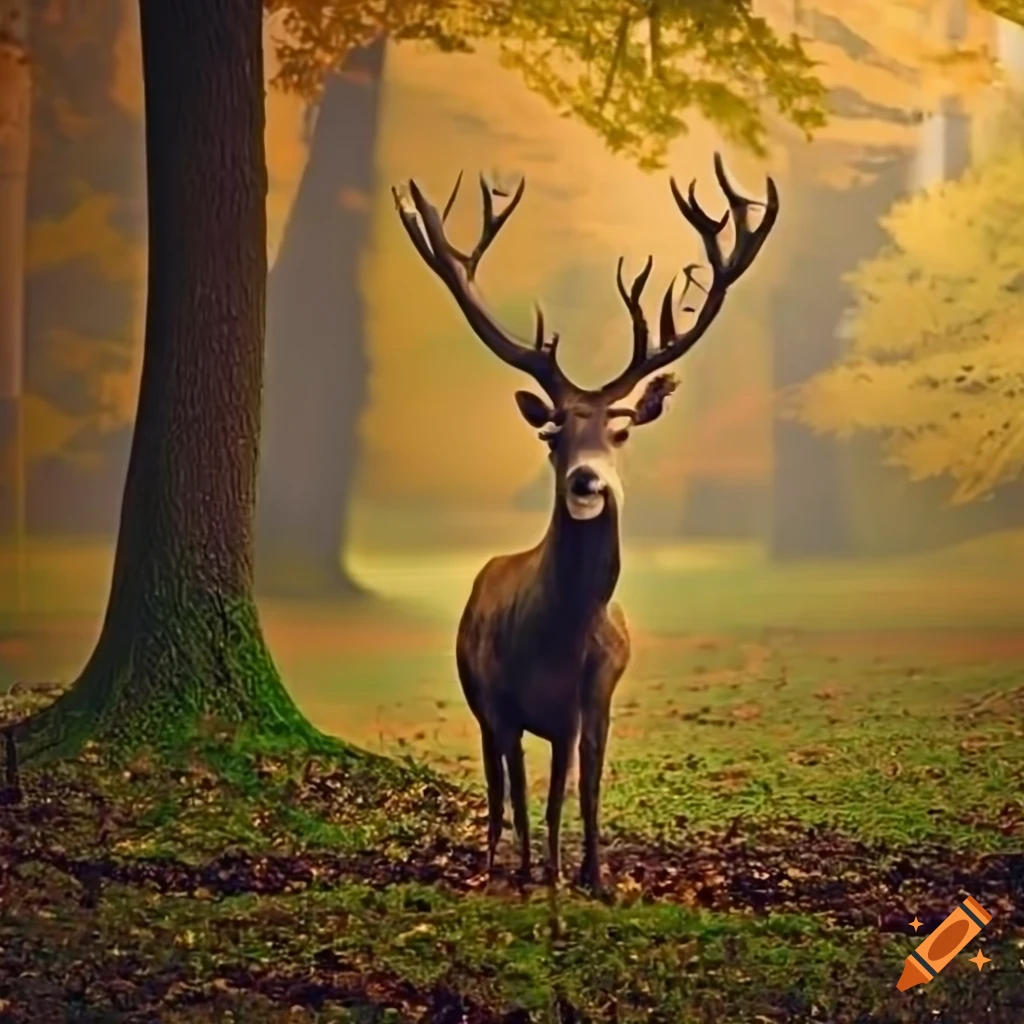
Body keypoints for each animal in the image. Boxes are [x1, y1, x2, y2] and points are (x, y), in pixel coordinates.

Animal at [392, 153, 778, 893]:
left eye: (619, 430)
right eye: (553, 433)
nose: (586, 481)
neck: (556, 641)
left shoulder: (591, 700)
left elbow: (581, 793)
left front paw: (592, 877)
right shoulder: (504, 700)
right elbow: (523, 794)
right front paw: (535, 875)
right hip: (477, 694)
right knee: (497, 786)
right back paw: (495, 864)